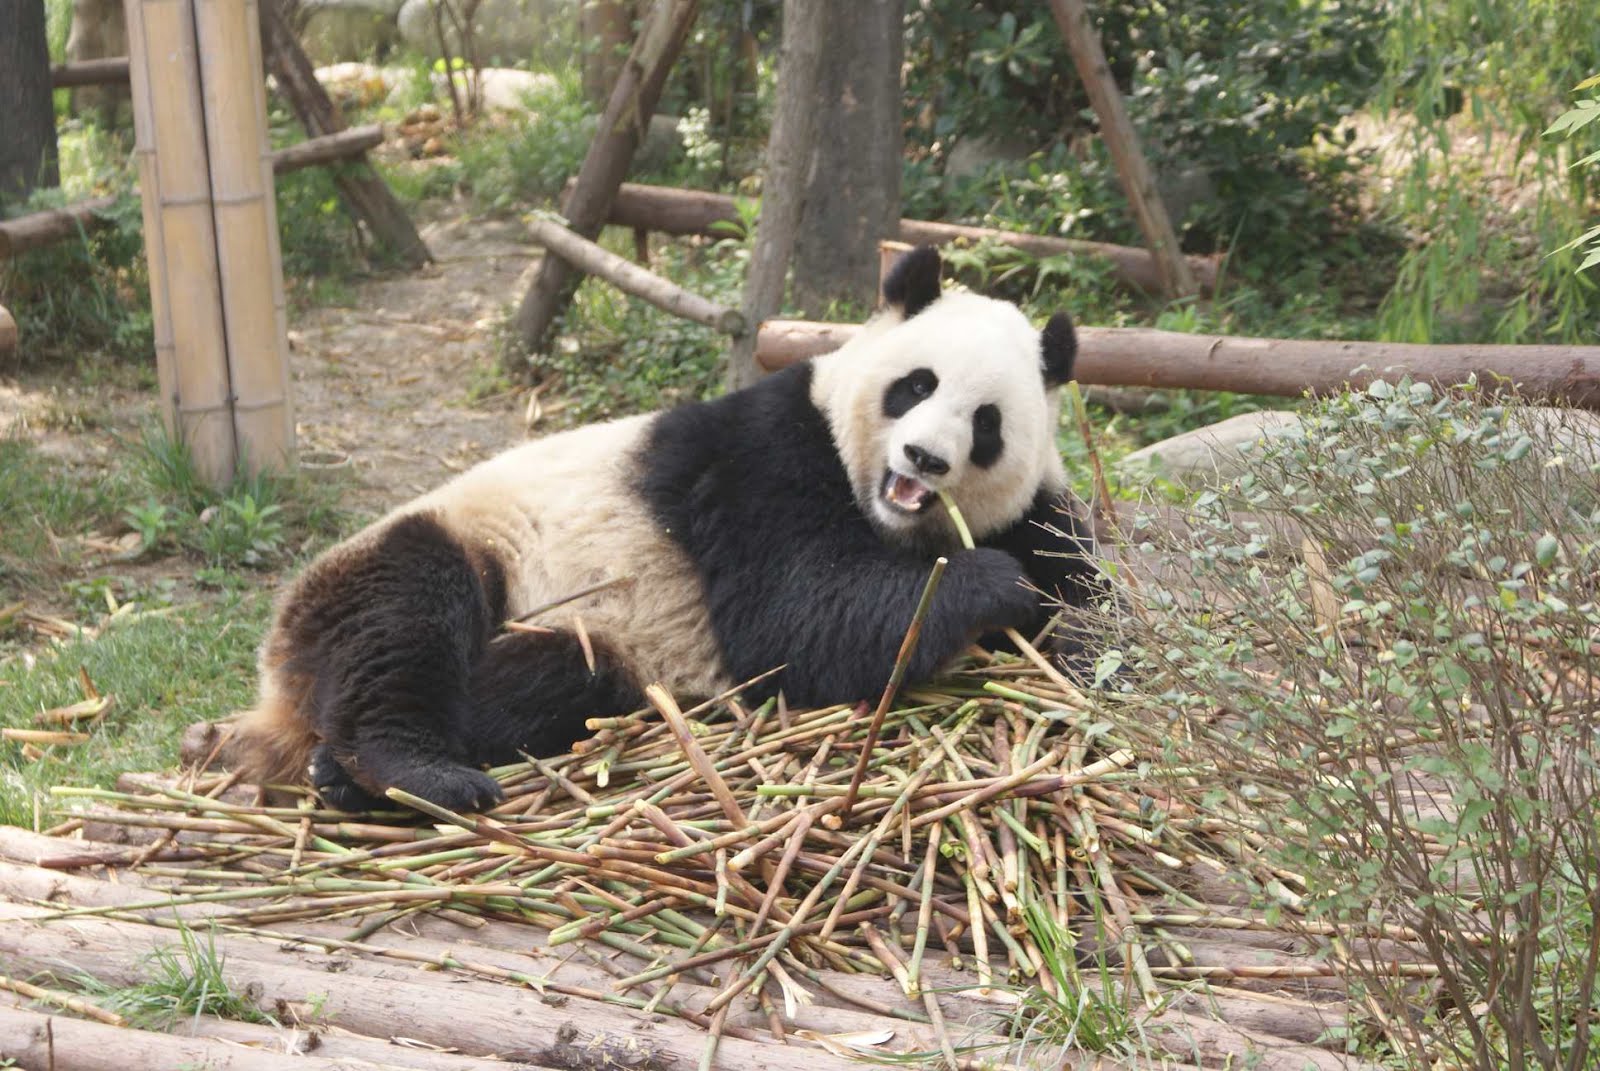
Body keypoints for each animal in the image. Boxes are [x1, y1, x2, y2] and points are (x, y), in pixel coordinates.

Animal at [235, 246, 1104, 813]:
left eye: (985, 422)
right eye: (915, 385)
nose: (924, 458)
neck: (895, 523)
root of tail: (276, 689)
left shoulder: (1037, 508)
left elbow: (1086, 586)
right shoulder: (763, 457)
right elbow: (797, 620)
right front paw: (994, 586)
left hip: (595, 644)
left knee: (556, 681)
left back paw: (353, 768)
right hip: (440, 544)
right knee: (405, 611)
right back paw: (410, 771)